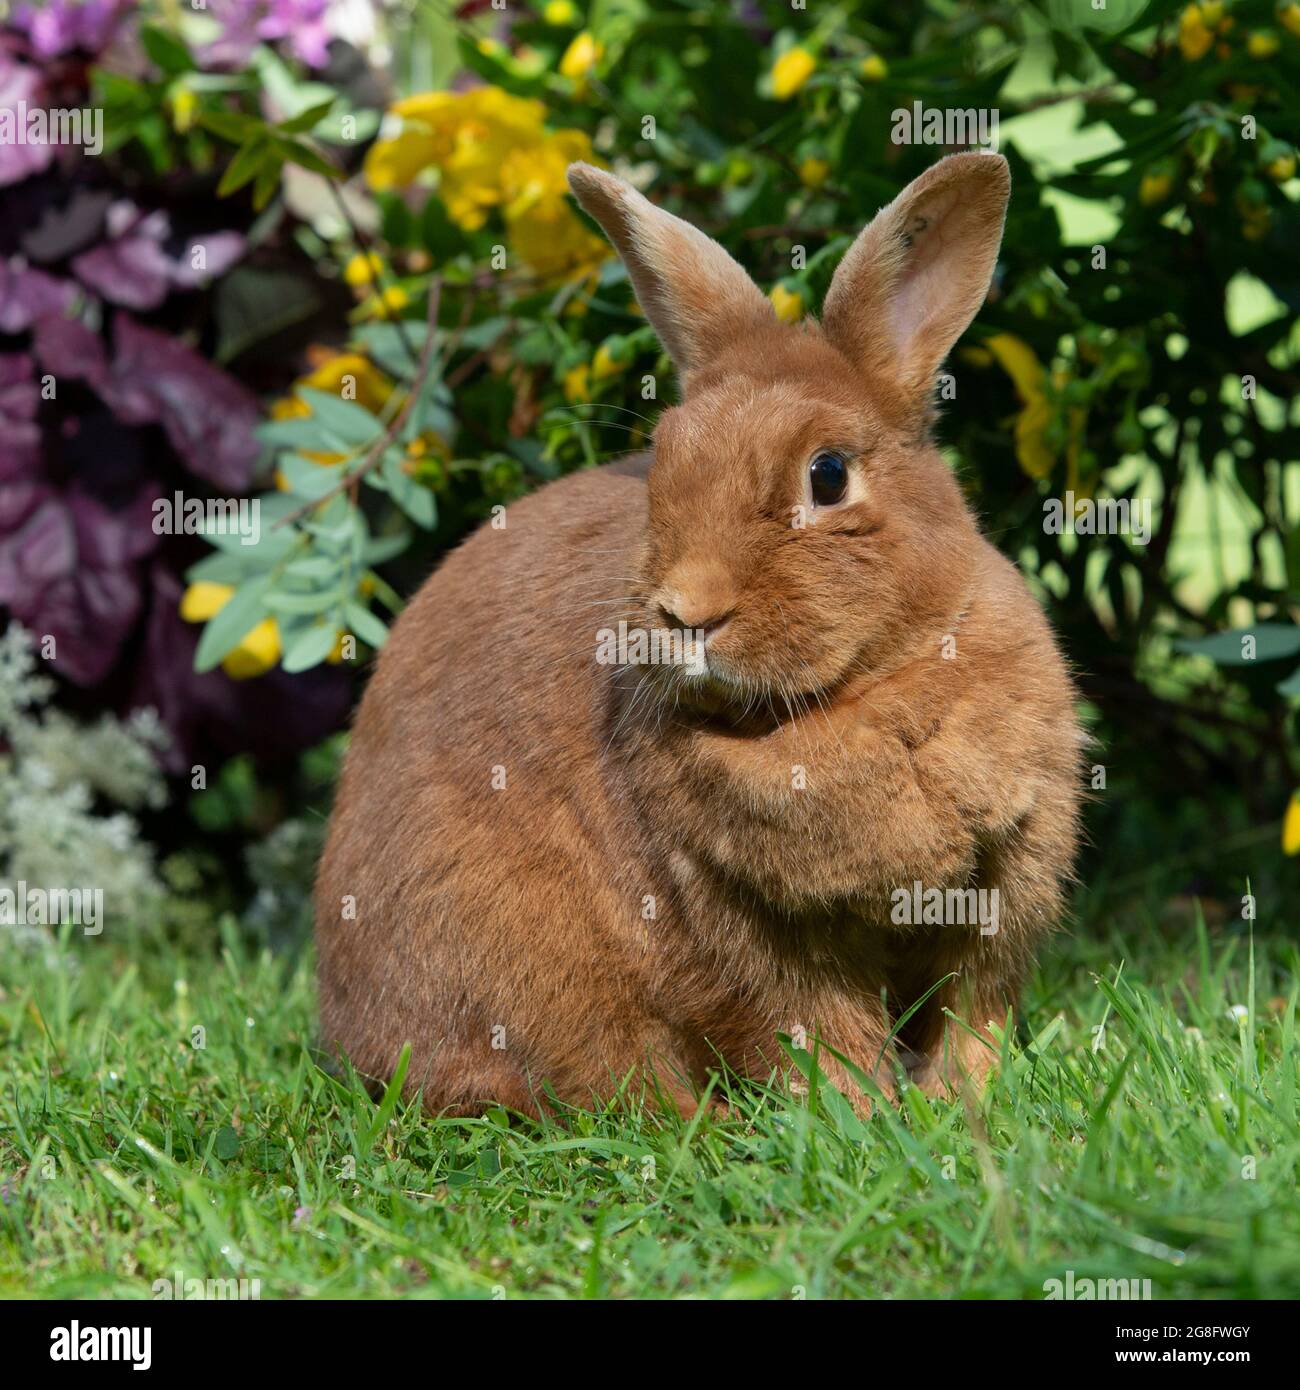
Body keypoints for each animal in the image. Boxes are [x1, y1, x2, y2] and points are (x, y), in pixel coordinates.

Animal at [315, 151, 1083, 1118]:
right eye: (664, 468)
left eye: (828, 475)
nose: (687, 613)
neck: (867, 688)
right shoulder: (748, 933)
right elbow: (820, 1035)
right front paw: (867, 1118)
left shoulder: (1003, 889)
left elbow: (969, 1014)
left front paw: (958, 1107)